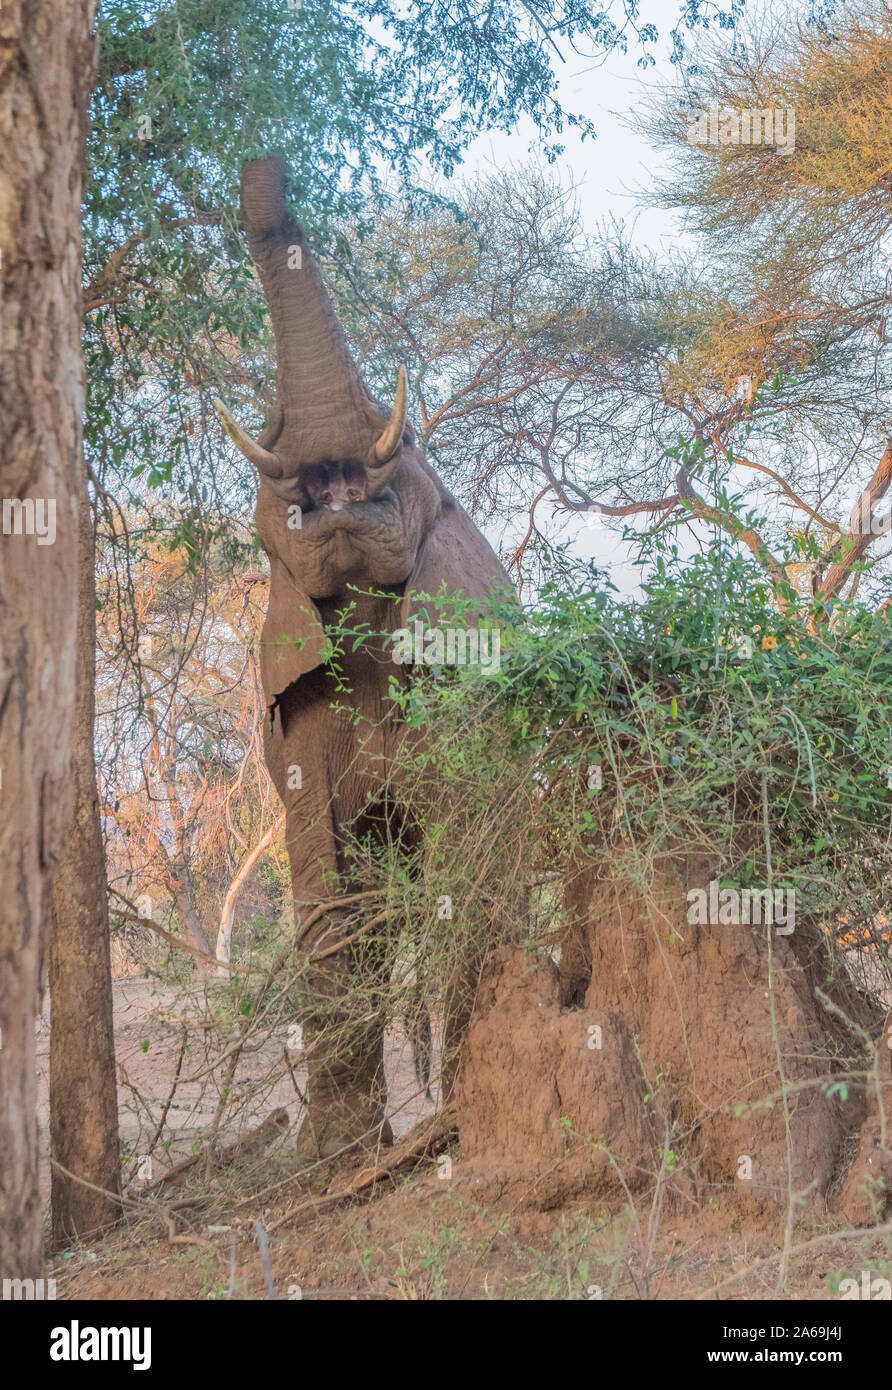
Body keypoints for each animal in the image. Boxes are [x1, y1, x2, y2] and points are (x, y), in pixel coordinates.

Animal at [215, 157, 512, 1159]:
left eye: (409, 442)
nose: (262, 163)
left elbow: (467, 853)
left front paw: (465, 1115)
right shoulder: (295, 715)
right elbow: (330, 897)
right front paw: (337, 1162)